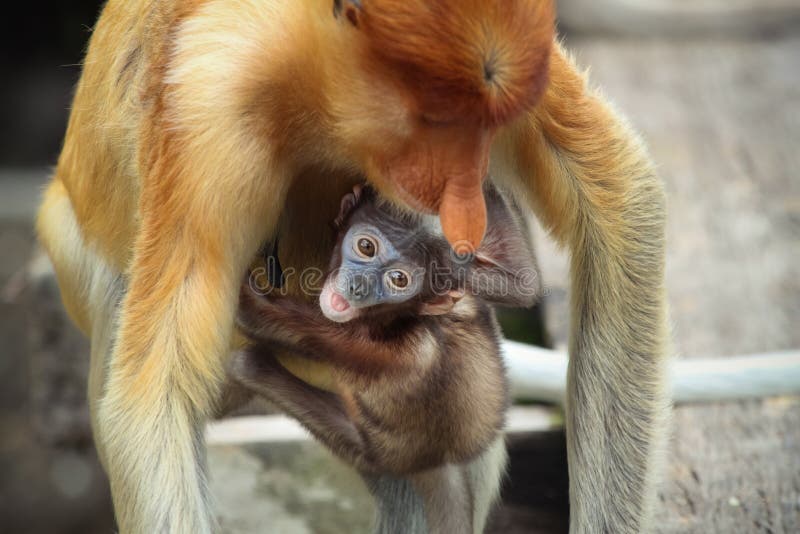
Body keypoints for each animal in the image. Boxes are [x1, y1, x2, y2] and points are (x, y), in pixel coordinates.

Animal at [232, 183, 538, 476]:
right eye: (366, 247)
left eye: (399, 280)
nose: (358, 285)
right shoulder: (464, 288)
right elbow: (521, 283)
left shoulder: (395, 353)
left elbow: (252, 315)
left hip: (373, 453)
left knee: (248, 365)